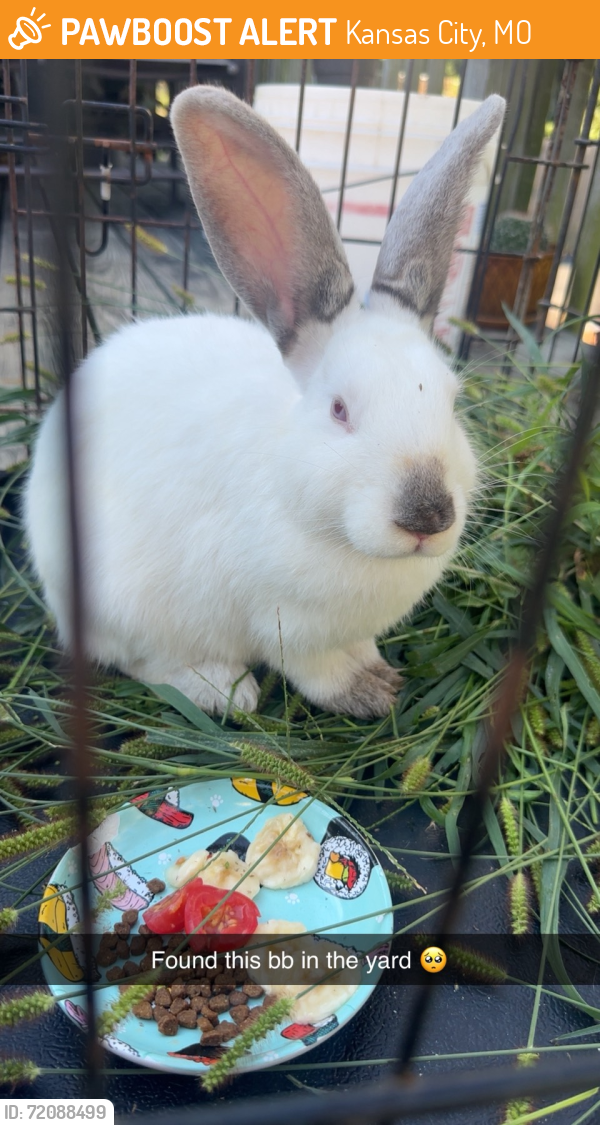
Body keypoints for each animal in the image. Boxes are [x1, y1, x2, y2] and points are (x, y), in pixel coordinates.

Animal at [23, 87, 505, 720]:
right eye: (339, 410)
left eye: (451, 403)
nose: (427, 516)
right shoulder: (286, 626)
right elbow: (314, 672)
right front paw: (369, 694)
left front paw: (377, 672)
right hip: (120, 602)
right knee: (143, 661)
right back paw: (223, 689)